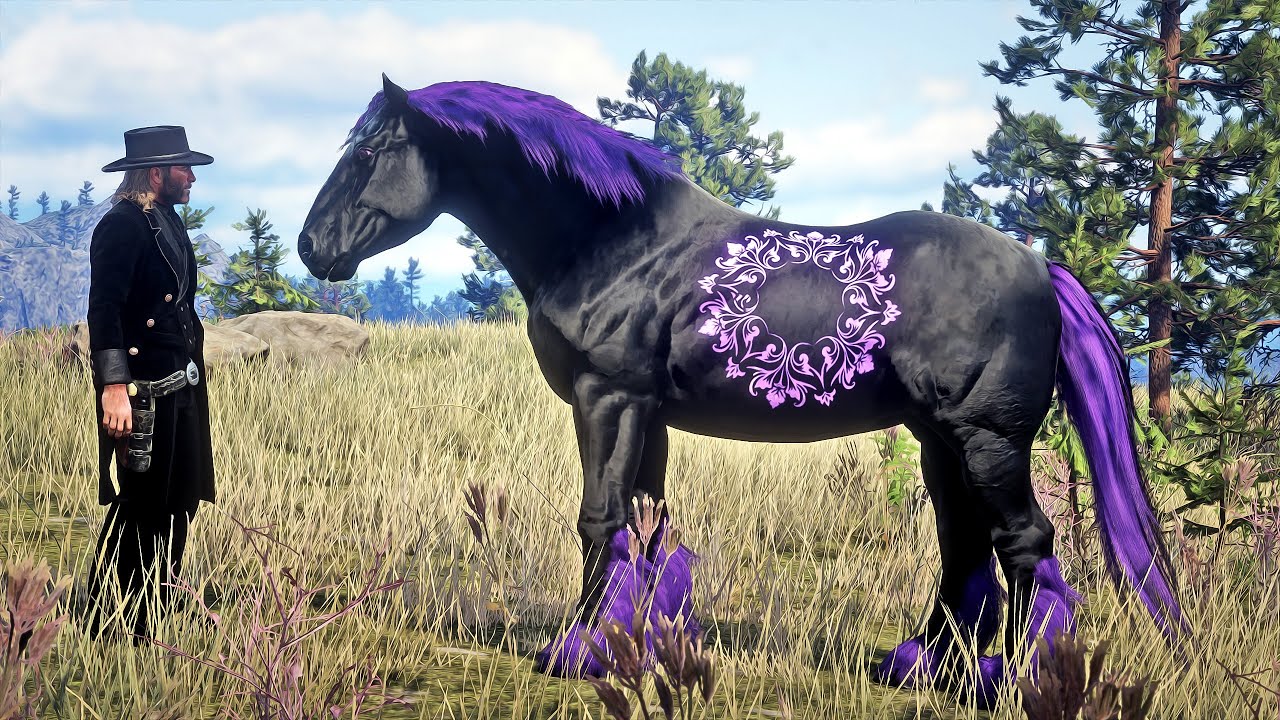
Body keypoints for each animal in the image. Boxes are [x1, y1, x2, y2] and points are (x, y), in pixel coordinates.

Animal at [298, 74, 1185, 708]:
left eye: (369, 152)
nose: (312, 247)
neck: (617, 241)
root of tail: (1040, 265)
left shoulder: (606, 396)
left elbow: (599, 522)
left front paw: (578, 651)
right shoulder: (645, 412)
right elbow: (646, 529)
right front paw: (639, 642)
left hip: (987, 440)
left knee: (1023, 544)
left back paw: (1019, 682)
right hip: (941, 442)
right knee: (963, 548)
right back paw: (925, 668)